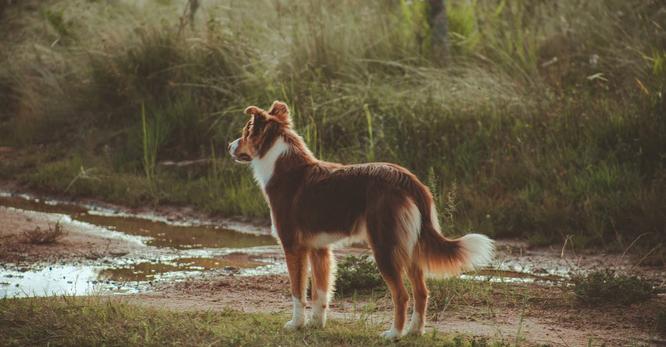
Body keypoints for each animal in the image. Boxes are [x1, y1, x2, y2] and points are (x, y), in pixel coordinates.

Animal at [228, 100, 492, 340]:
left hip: (385, 247)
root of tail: (407, 179)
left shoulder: (293, 246)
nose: (229, 146)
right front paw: (316, 324)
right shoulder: (320, 249)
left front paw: (296, 324)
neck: (279, 163)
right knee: (422, 292)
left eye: (244, 133)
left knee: (402, 295)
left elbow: (298, 291)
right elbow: (320, 292)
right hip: (410, 246)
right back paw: (415, 331)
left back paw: (394, 334)